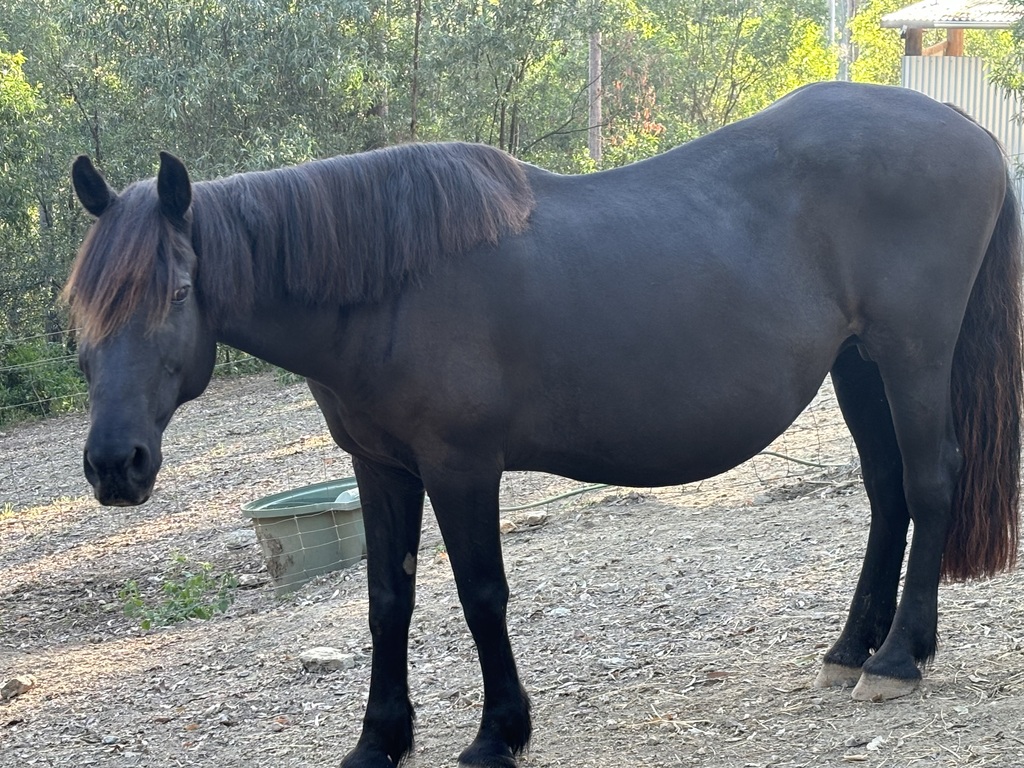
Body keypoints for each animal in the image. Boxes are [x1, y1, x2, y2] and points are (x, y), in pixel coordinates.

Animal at [66, 81, 1022, 768]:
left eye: (176, 292)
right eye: (82, 306)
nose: (116, 465)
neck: (389, 289)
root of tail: (969, 131)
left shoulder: (460, 467)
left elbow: (481, 595)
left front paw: (498, 734)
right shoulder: (381, 468)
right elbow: (385, 600)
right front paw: (379, 741)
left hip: (912, 355)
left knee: (930, 482)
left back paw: (898, 660)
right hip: (858, 364)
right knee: (888, 491)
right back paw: (856, 648)